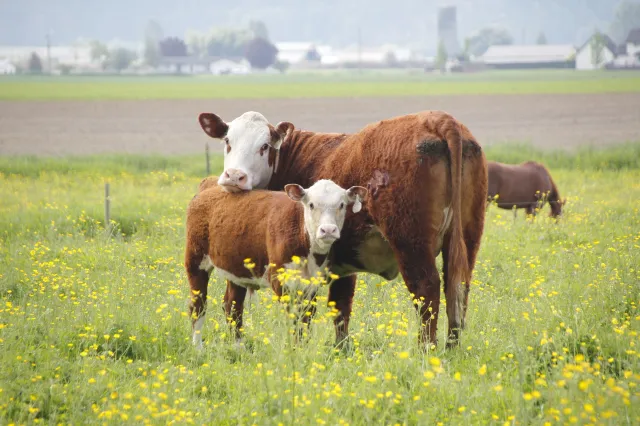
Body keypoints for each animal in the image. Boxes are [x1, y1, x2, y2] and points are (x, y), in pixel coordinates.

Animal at [184, 175, 368, 349]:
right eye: (311, 205)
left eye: (342, 205)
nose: (328, 230)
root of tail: (210, 185)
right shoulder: (281, 281)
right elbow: (294, 318)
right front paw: (295, 349)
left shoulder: (311, 286)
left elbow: (306, 318)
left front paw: (302, 349)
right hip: (195, 260)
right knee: (198, 305)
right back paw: (198, 347)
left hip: (236, 268)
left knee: (232, 306)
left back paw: (239, 347)